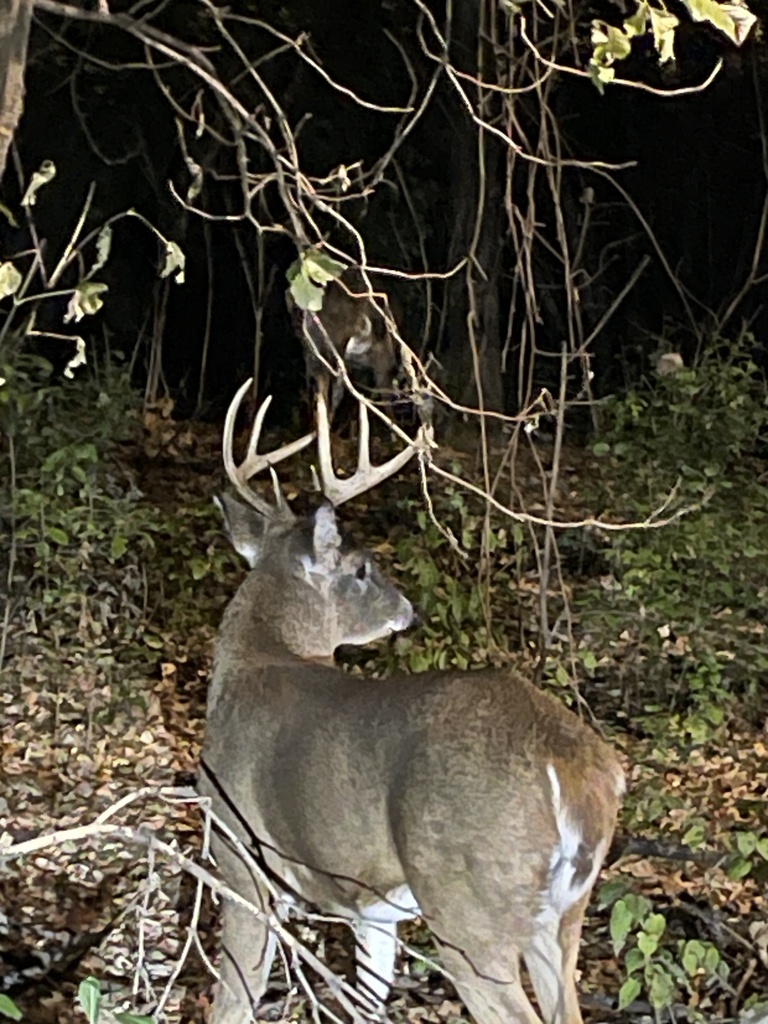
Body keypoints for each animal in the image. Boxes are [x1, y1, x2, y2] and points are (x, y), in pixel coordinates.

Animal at [199, 378, 625, 1024]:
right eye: (361, 568)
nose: (406, 609)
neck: (259, 657)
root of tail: (571, 767)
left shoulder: (237, 852)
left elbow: (232, 1002)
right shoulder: (370, 908)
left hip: (467, 906)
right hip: (563, 916)